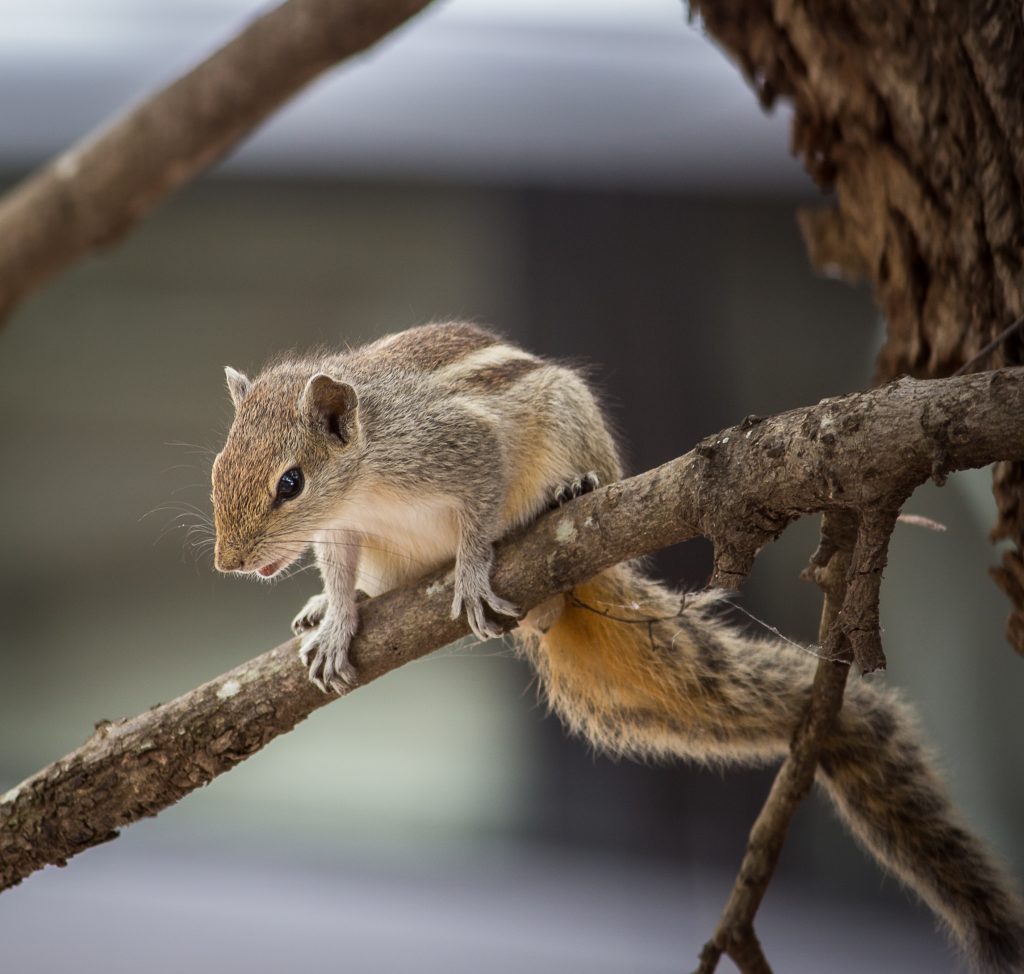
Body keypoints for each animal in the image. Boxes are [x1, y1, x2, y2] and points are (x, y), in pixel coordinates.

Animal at [211, 321, 1024, 972]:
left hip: (568, 423)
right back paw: (329, 608)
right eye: (218, 469)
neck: (368, 473)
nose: (228, 563)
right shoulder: (346, 534)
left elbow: (477, 512)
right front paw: (337, 616)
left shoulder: (462, 450)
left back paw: (566, 494)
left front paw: (469, 570)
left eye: (291, 481)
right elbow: (341, 568)